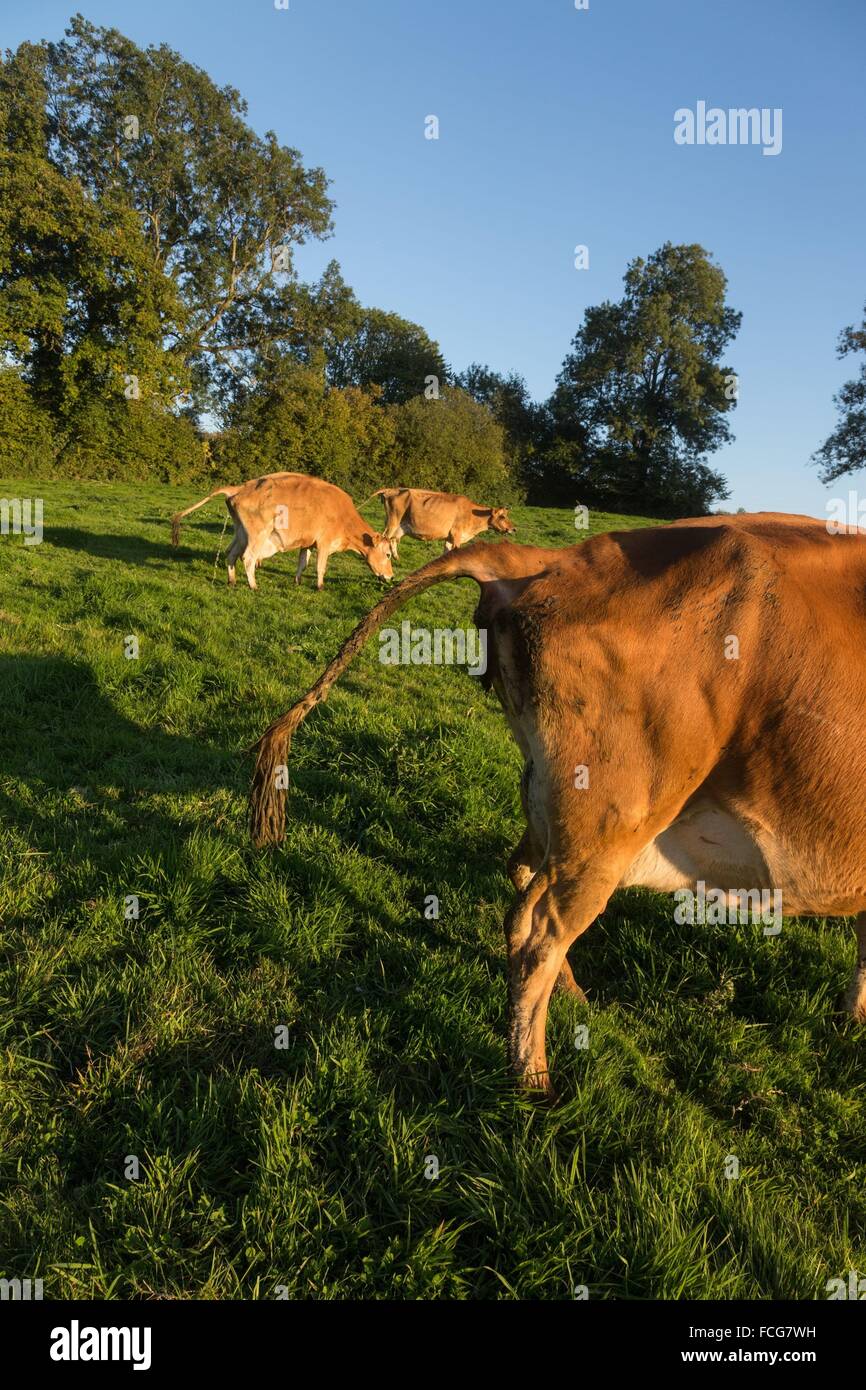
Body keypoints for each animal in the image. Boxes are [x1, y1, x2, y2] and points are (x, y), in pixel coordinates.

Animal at [171, 472, 393, 590]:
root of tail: (242, 487)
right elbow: (320, 567)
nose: (391, 577)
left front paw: (297, 581)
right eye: (388, 554)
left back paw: (232, 581)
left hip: (241, 533)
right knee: (248, 557)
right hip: (257, 535)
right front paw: (320, 587)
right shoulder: (324, 543)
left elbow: (303, 564)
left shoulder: (308, 543)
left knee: (231, 554)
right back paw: (253, 586)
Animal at [249, 513, 866, 1096]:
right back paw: (534, 1080)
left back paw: (570, 996)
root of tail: (551, 558)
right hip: (610, 824)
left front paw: (853, 1018)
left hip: (550, 798)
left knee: (524, 879)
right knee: (536, 931)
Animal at [373, 487, 516, 558]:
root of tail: (393, 489)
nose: (514, 529)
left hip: (398, 525)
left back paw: (396, 557)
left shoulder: (449, 537)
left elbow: (446, 553)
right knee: (384, 538)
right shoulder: (457, 534)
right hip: (393, 521)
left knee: (392, 540)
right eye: (503, 517)